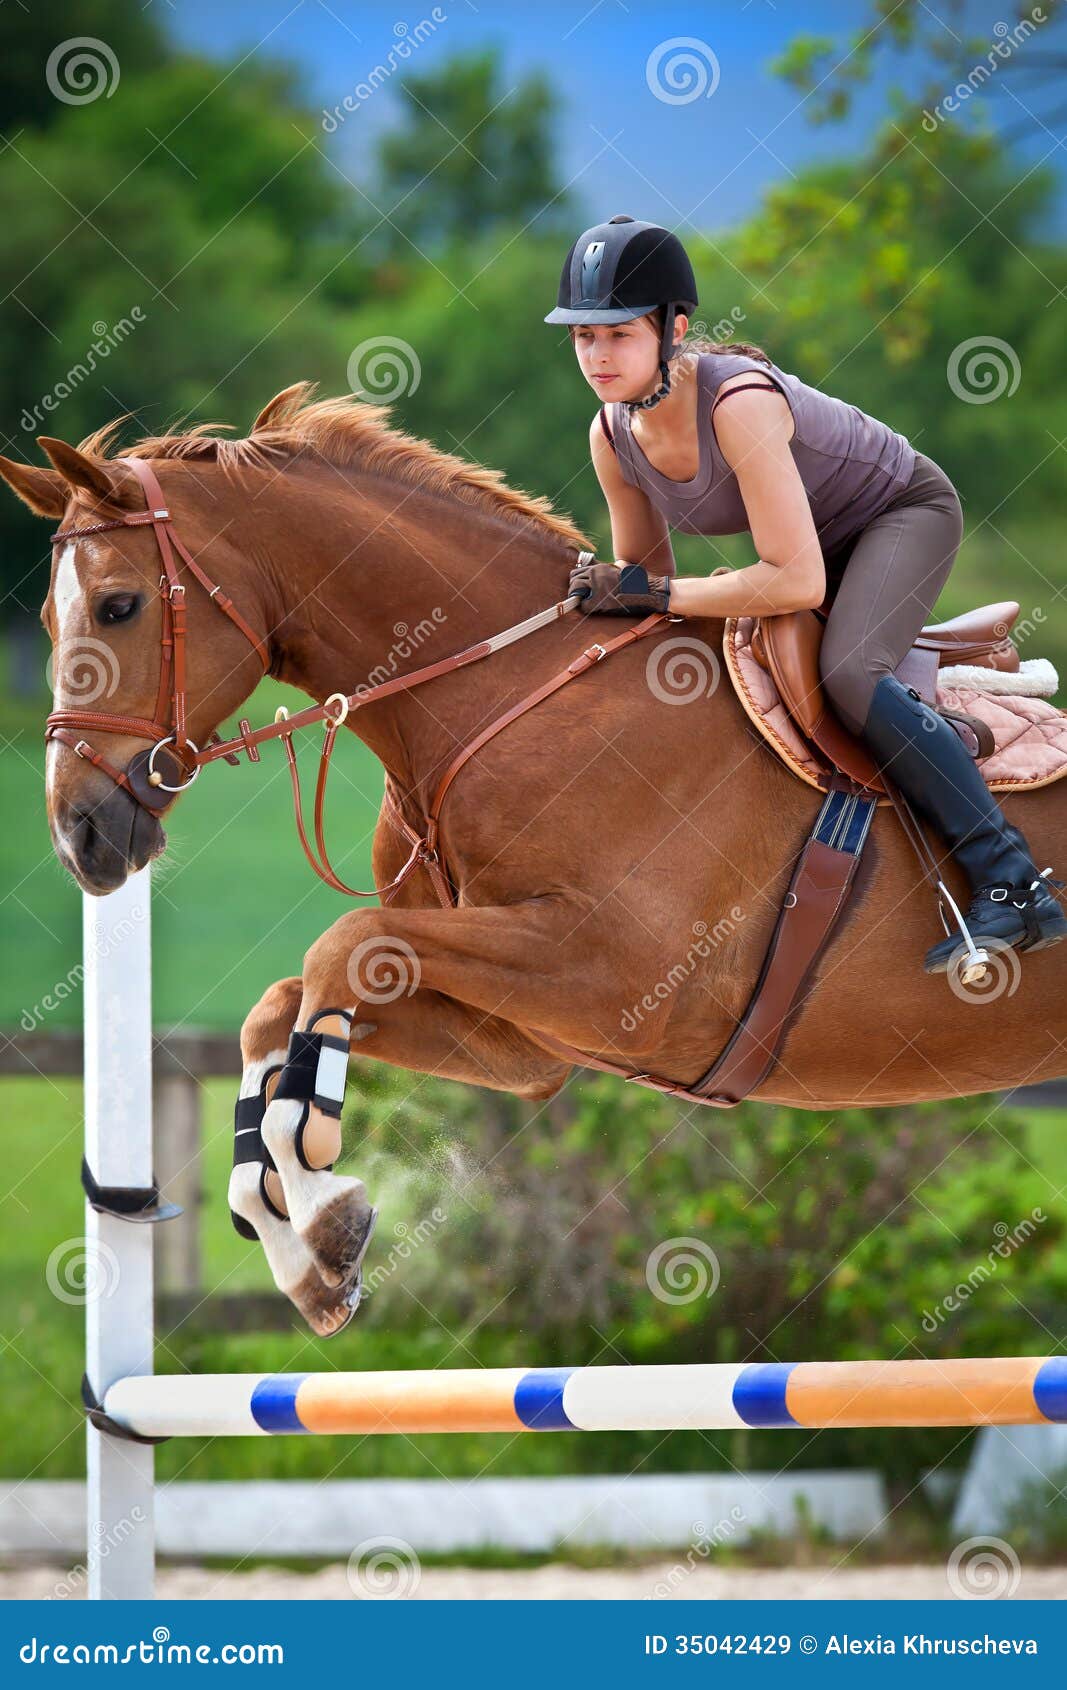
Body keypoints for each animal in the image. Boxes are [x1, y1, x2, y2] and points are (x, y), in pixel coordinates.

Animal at [5, 382, 1066, 1335]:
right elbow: (283, 1006)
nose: (79, 835)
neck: (501, 691)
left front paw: (318, 1193)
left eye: (118, 606)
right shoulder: (532, 1038)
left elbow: (339, 948)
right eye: (52, 624)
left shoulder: (621, 980)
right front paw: (307, 1248)